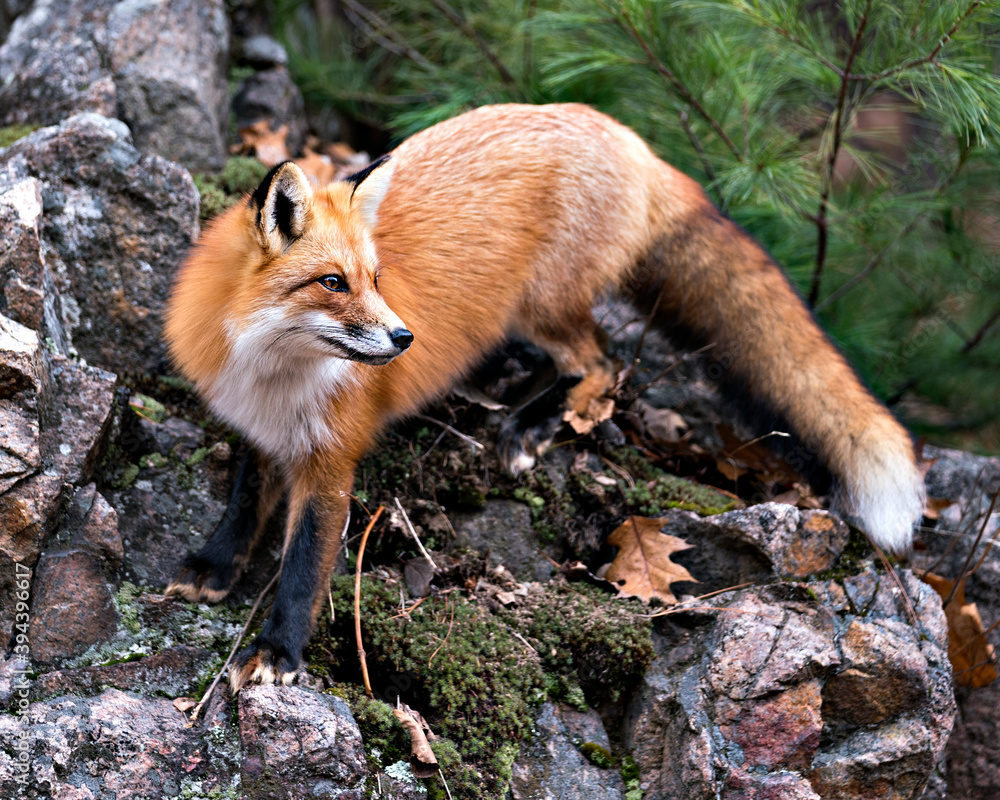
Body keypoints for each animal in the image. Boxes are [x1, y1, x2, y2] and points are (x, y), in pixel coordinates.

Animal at [164, 103, 926, 691]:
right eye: (331, 282)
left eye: (375, 279)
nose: (405, 337)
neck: (274, 373)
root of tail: (620, 132)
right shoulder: (260, 430)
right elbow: (242, 505)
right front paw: (215, 567)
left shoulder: (331, 462)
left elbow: (302, 566)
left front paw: (278, 652)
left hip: (544, 306)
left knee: (601, 362)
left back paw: (531, 424)